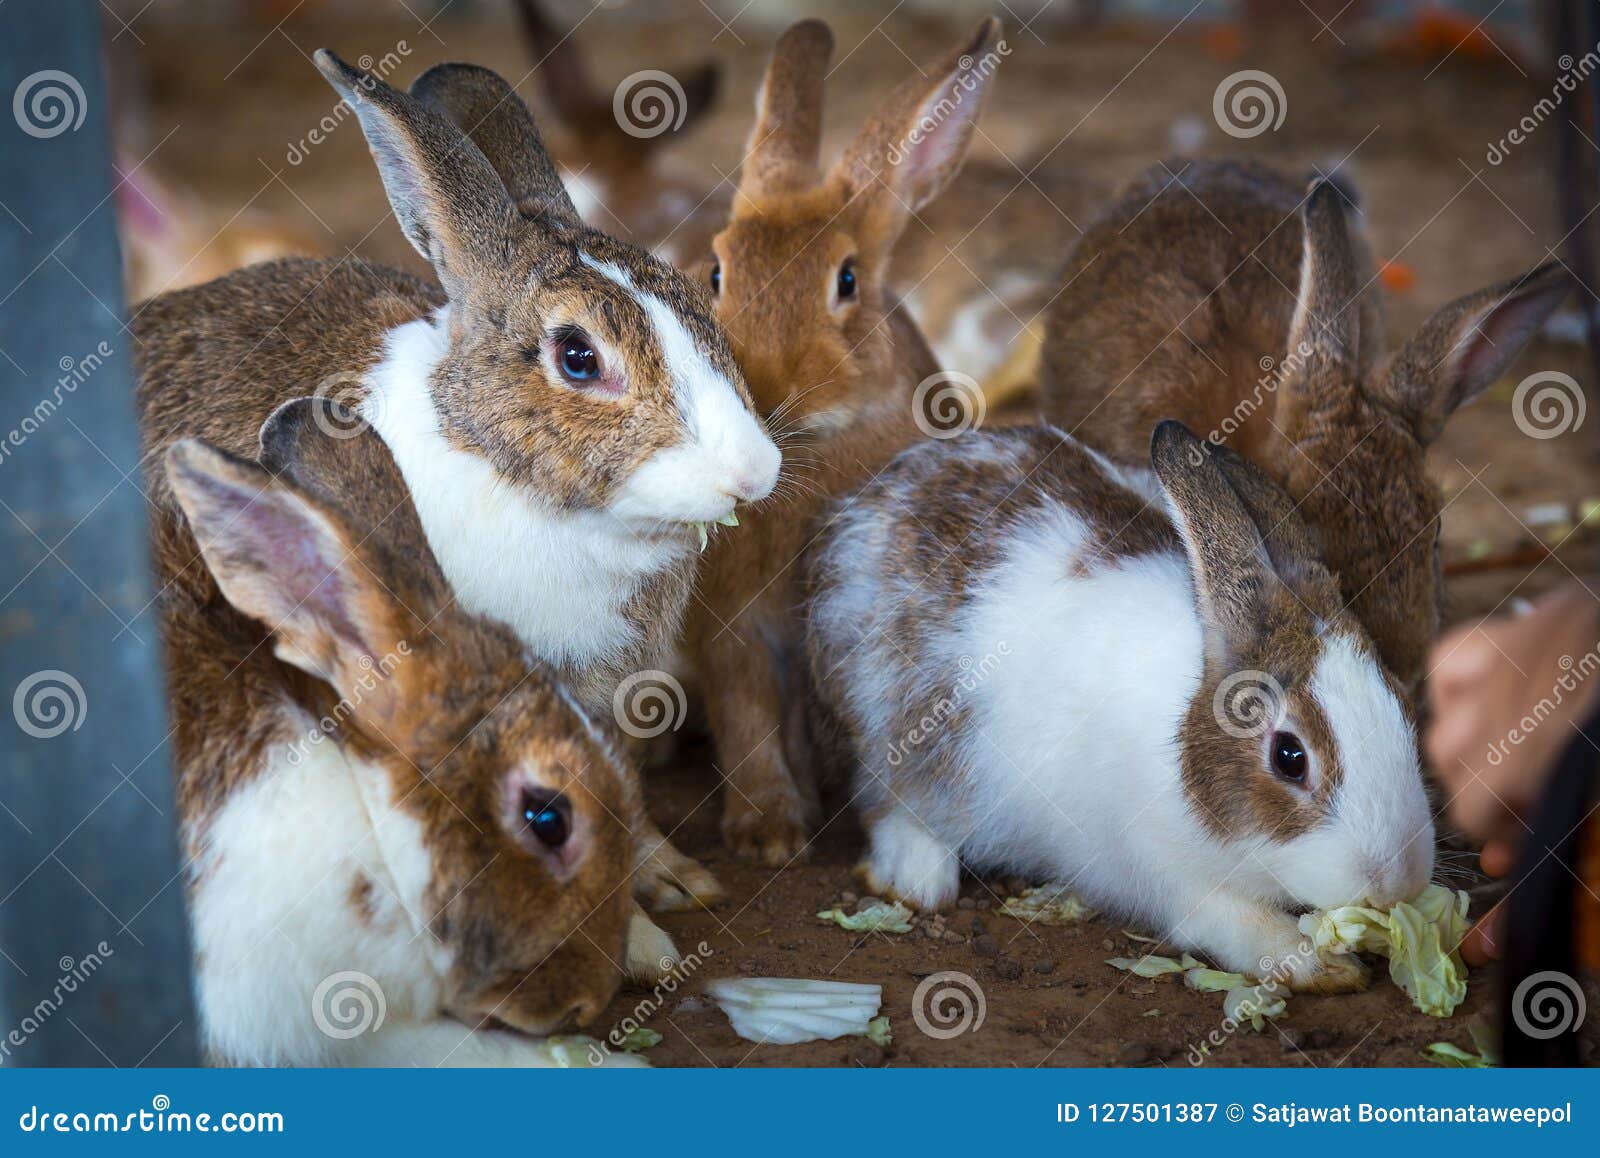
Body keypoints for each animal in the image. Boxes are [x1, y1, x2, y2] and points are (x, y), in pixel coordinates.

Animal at [676, 18, 1003, 863]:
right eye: (716, 272)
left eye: (847, 281)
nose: (760, 381)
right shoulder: (735, 624)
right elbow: (747, 711)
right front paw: (767, 833)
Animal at [802, 419, 1437, 991]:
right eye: (1289, 757)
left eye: (1406, 713)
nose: (1395, 883)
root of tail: (884, 487)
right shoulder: (1168, 876)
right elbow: (1239, 925)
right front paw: (1324, 967)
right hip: (886, 726)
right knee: (885, 803)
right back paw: (919, 876)